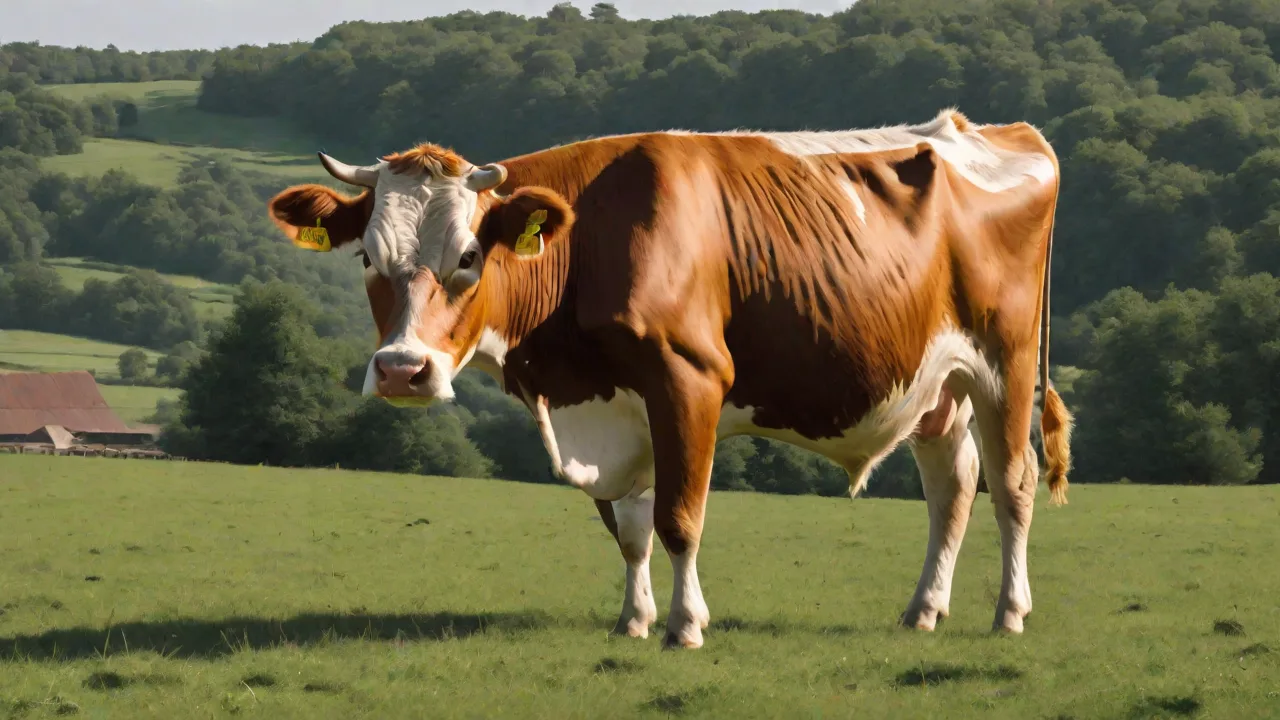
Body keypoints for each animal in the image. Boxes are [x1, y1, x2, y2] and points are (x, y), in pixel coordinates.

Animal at [267, 108, 1073, 649]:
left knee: (1012, 482)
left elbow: (679, 518)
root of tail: (1003, 131)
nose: (403, 370)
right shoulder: (614, 405)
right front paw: (633, 619)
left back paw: (1009, 613)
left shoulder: (688, 380)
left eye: (468, 255)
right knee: (952, 486)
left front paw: (685, 626)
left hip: (1004, 361)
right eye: (366, 256)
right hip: (936, 383)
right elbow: (629, 529)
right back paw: (923, 609)